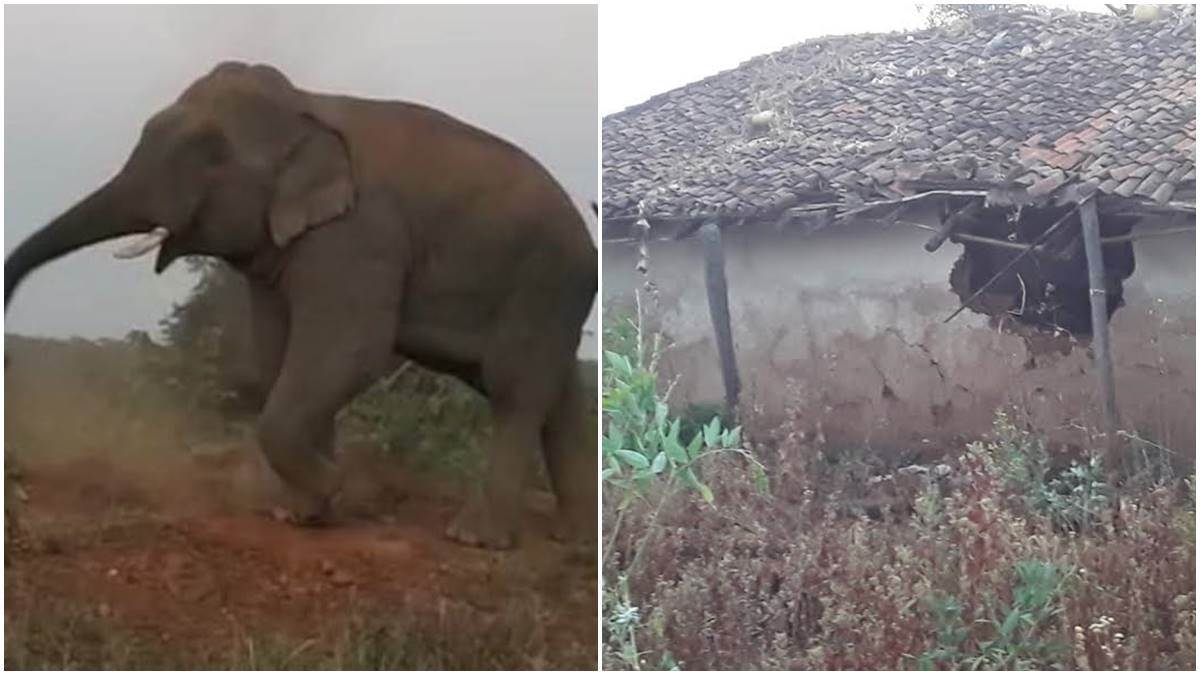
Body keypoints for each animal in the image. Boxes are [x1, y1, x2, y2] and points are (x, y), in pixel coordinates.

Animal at [4, 62, 597, 549]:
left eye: (212, 154)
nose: (9, 297)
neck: (306, 108)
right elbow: (278, 352)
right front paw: (305, 514)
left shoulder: (359, 235)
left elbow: (350, 351)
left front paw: (336, 486)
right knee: (559, 392)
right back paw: (573, 536)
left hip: (544, 284)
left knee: (515, 392)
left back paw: (475, 538)